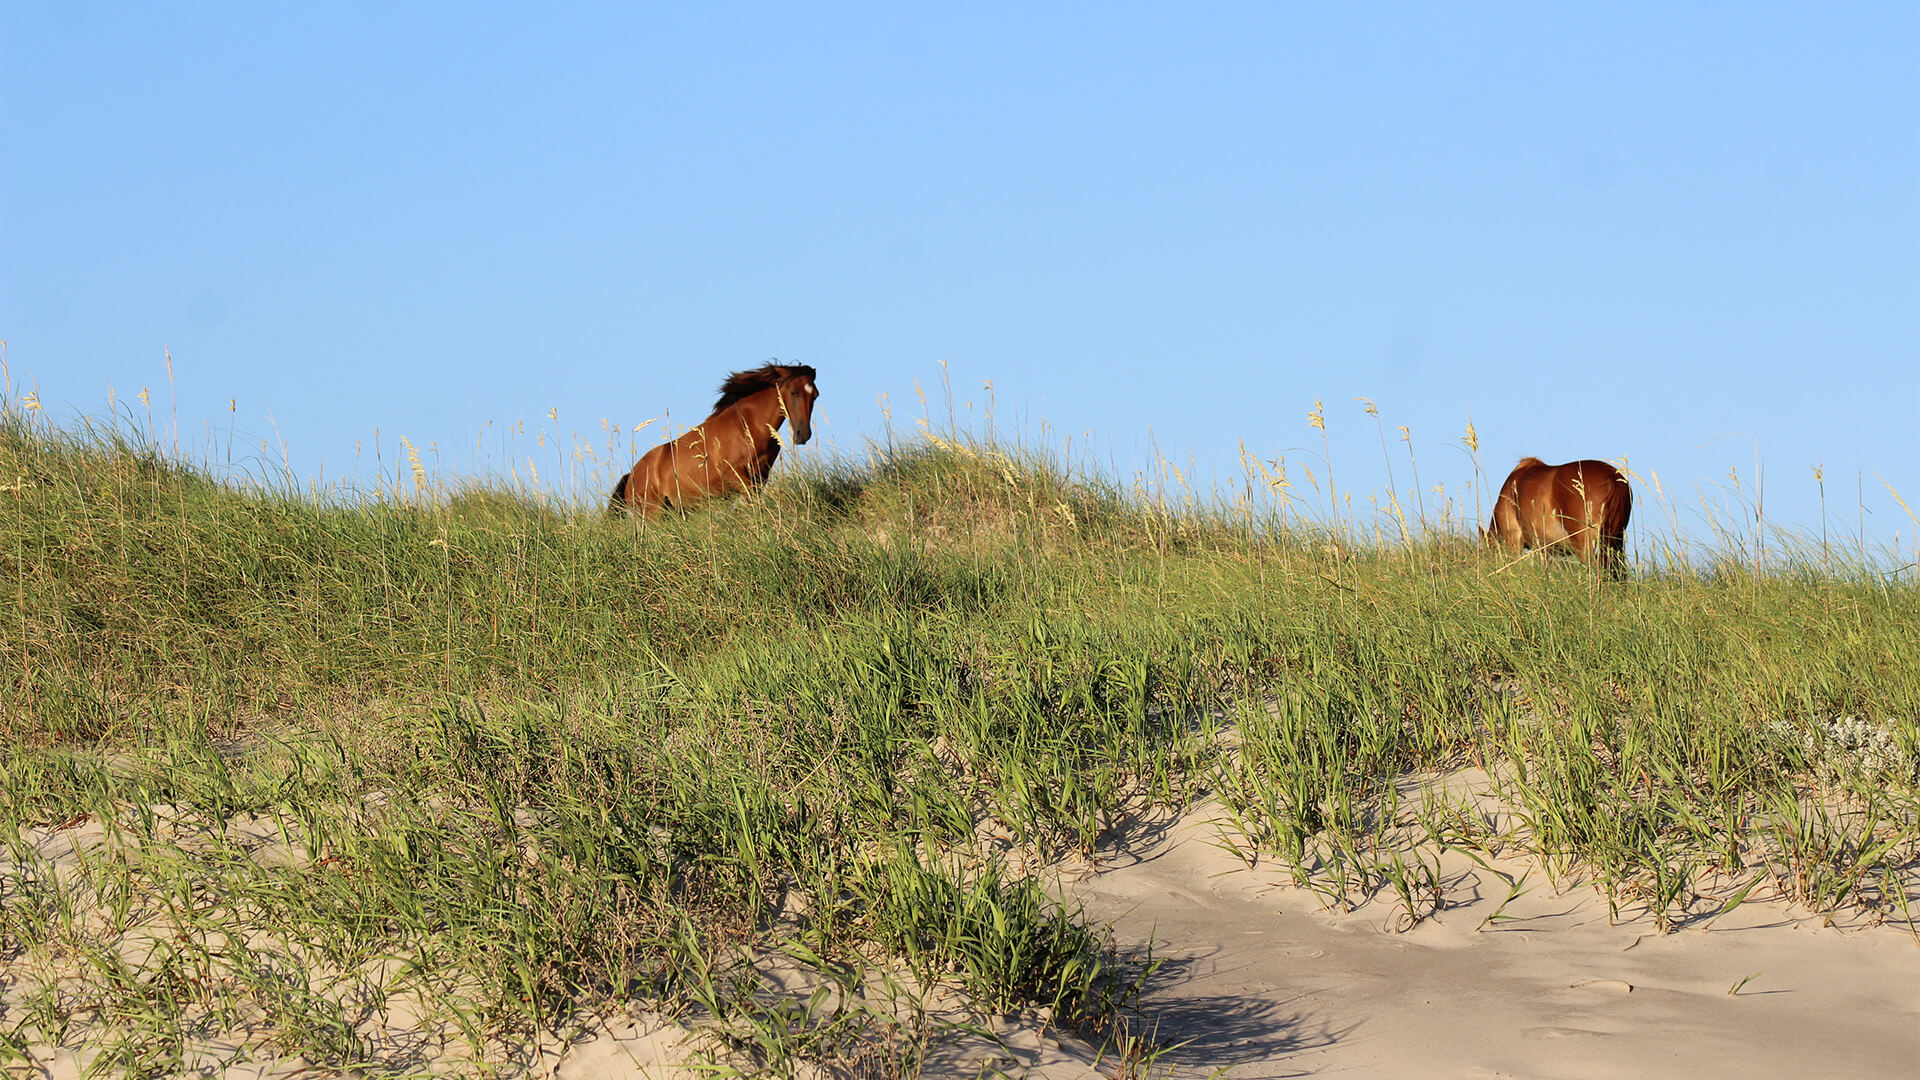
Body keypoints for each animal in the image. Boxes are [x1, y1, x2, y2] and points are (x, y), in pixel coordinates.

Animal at [610, 363, 819, 516]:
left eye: (815, 395)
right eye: (793, 392)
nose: (803, 434)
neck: (748, 427)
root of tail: (631, 476)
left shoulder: (761, 476)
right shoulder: (736, 476)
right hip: (654, 513)